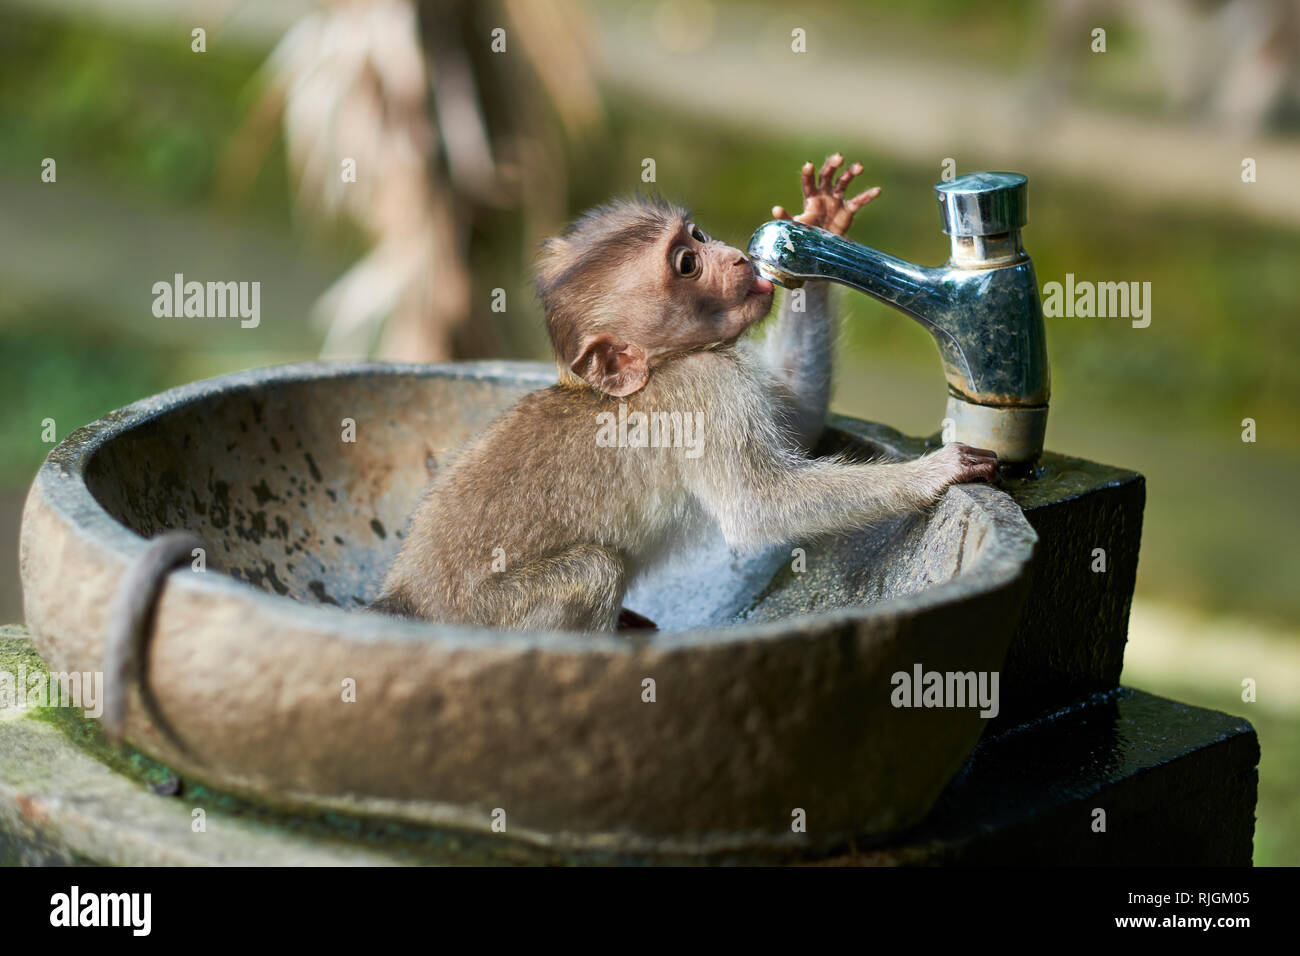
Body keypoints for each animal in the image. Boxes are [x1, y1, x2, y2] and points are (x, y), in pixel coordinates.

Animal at [372, 154, 997, 632]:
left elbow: (797, 416)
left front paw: (819, 225)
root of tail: (405, 602)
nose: (738, 257)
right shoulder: (706, 388)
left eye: (695, 236)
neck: (661, 364)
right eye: (688, 264)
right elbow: (759, 505)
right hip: (491, 614)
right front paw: (933, 472)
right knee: (594, 570)